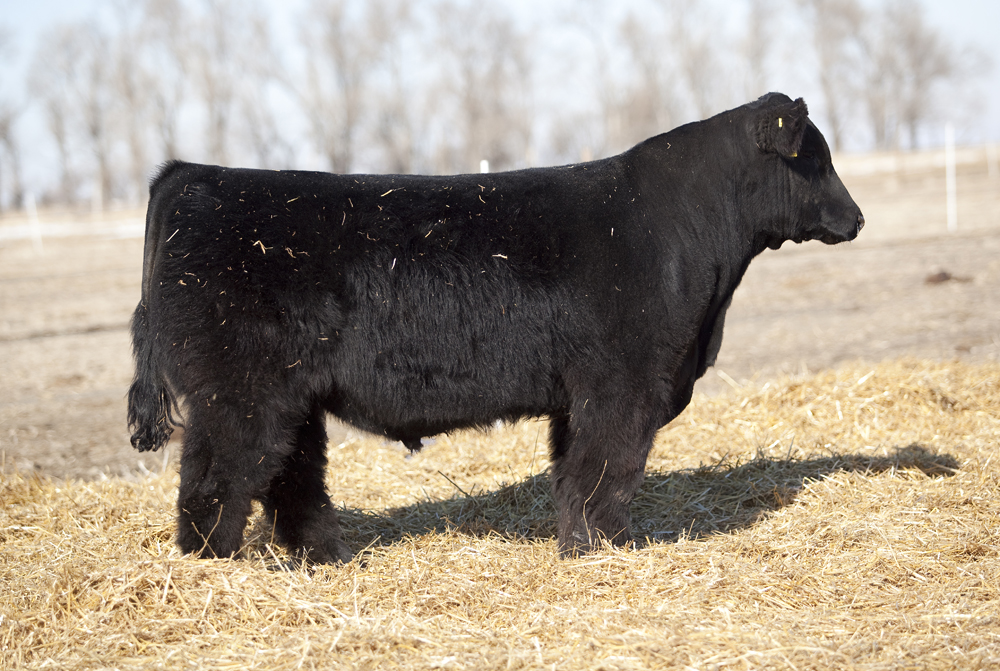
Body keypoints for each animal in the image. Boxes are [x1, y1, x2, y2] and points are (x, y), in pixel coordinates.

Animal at [128, 93, 864, 563]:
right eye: (817, 159)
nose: (855, 217)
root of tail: (192, 175)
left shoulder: (580, 394)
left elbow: (575, 472)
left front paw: (583, 546)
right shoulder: (624, 385)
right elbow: (608, 469)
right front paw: (606, 549)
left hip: (288, 398)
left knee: (290, 474)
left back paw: (323, 559)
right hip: (238, 394)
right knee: (216, 479)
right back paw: (214, 568)